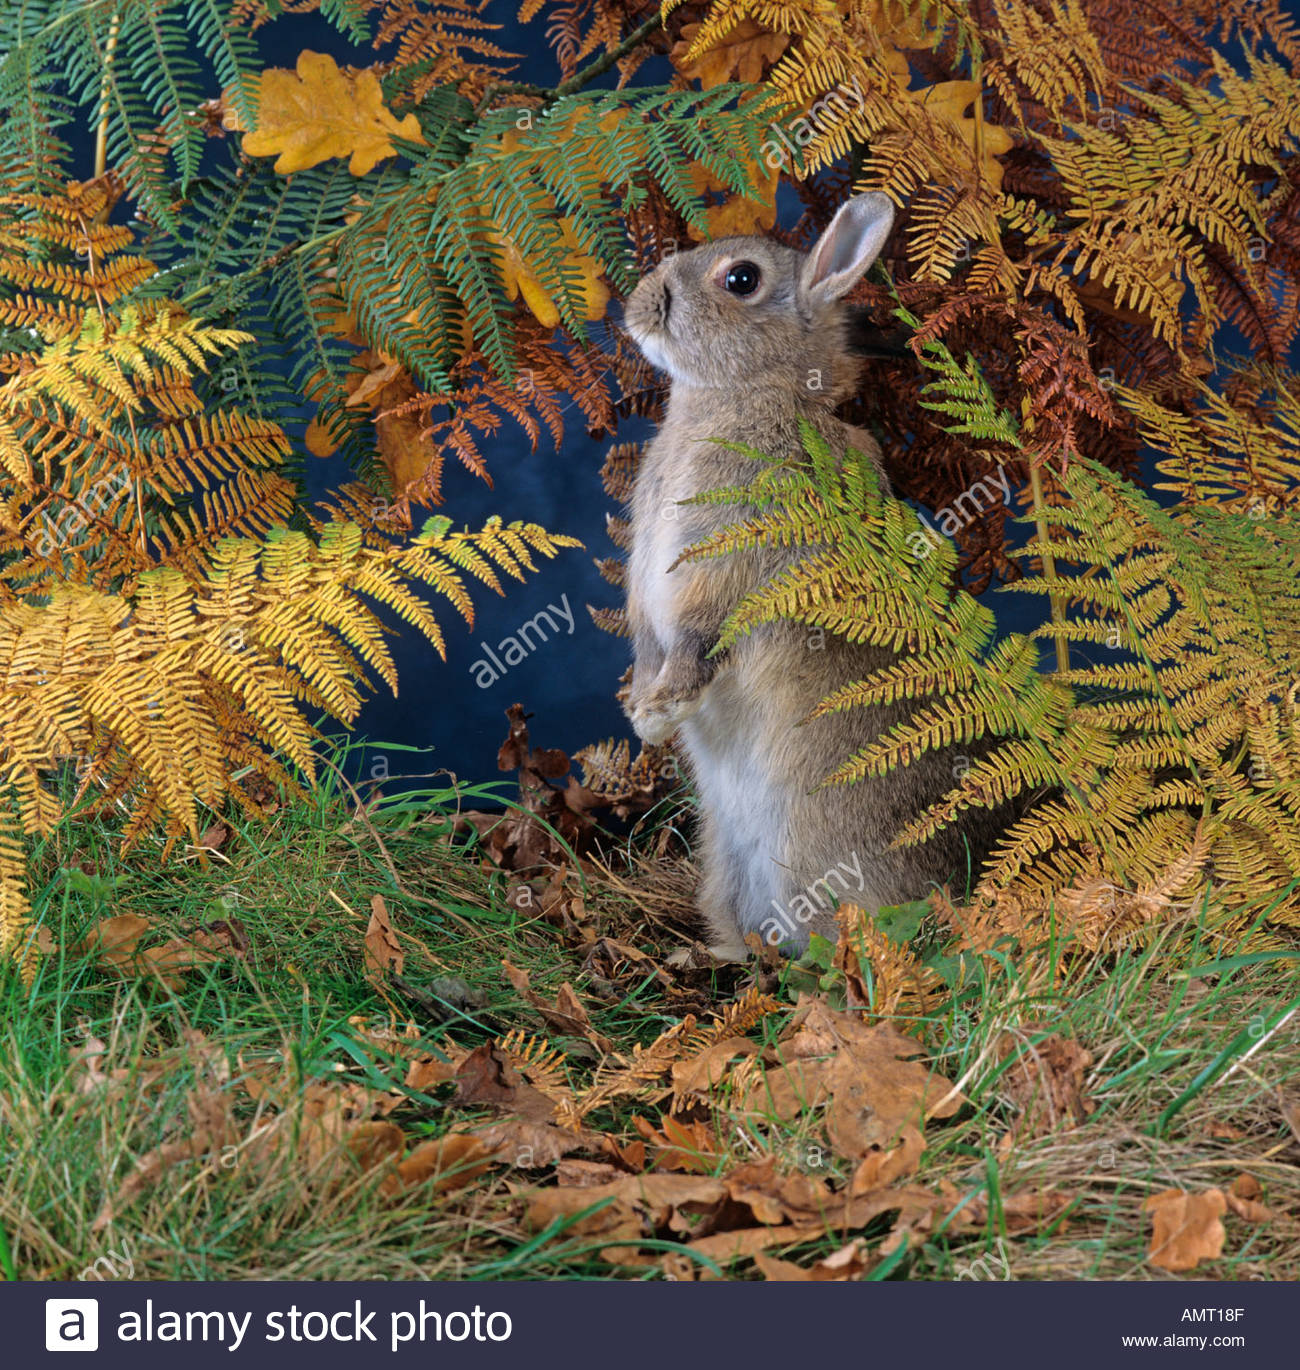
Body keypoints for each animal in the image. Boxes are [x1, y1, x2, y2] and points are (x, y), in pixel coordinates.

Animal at [618, 192, 988, 960]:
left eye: (741, 280)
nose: (639, 303)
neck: (746, 396)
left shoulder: (726, 564)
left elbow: (697, 636)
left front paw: (663, 712)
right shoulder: (646, 580)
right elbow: (646, 637)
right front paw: (644, 713)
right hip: (723, 859)